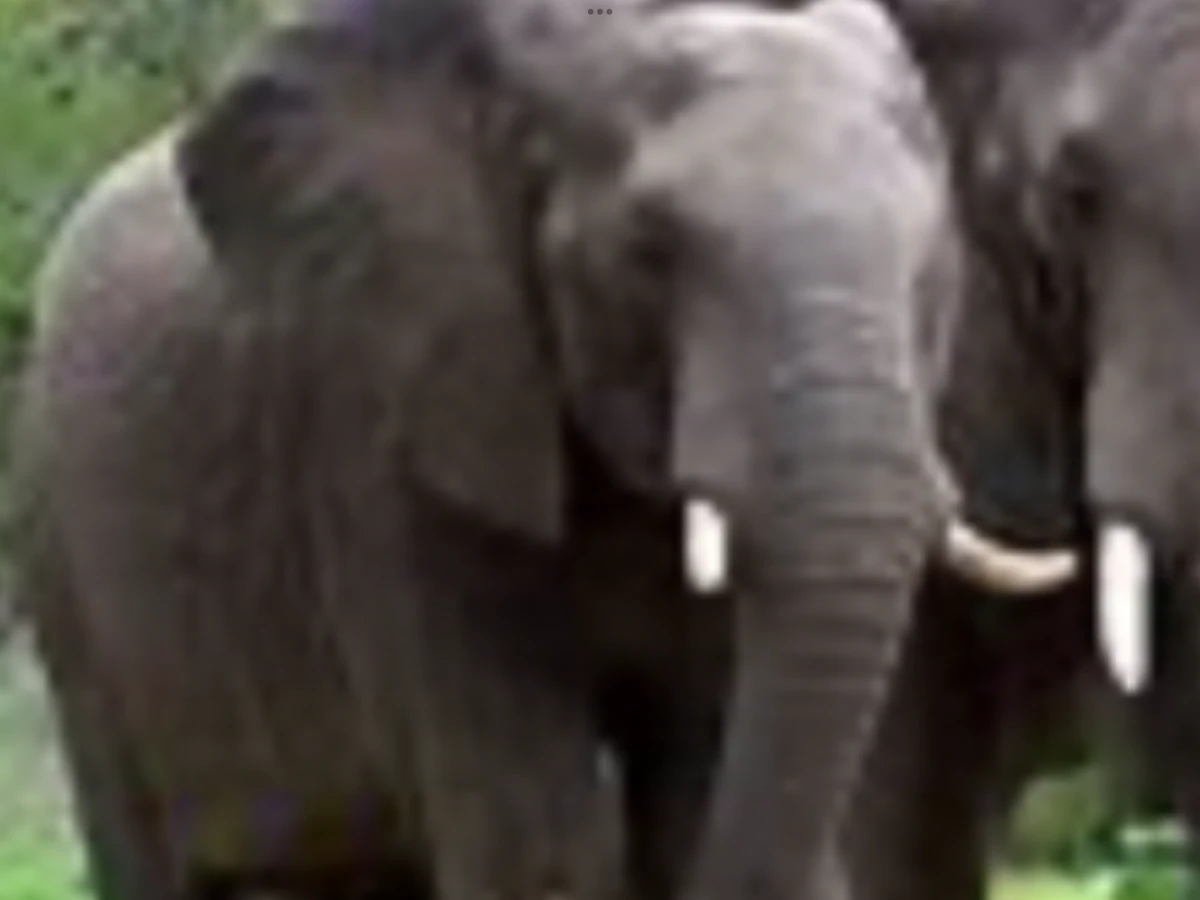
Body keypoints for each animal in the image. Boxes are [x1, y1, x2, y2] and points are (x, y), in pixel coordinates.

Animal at [8, 0, 1076, 898]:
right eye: (646, 252)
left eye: (931, 265)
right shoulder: (397, 435)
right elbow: (535, 837)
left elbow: (693, 785)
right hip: (66, 568)